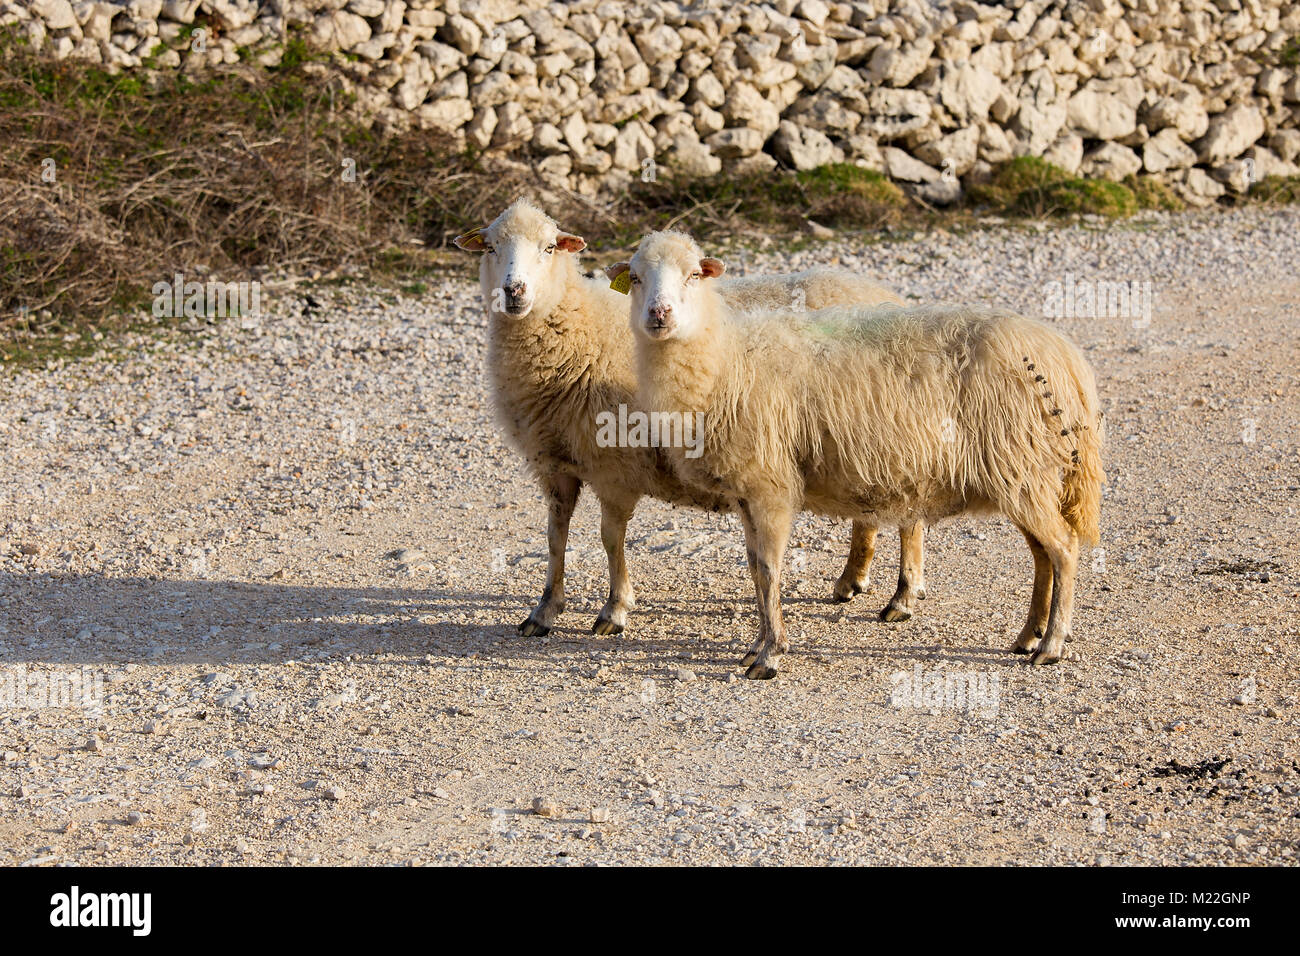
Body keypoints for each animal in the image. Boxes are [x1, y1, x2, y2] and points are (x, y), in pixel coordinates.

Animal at [454, 198, 926, 639]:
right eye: (491, 247)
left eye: (549, 248)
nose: (514, 292)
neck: (578, 330)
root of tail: (893, 298)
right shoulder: (554, 464)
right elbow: (555, 537)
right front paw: (544, 610)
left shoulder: (615, 468)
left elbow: (610, 537)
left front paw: (614, 610)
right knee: (869, 514)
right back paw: (852, 580)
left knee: (910, 515)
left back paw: (902, 597)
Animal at [613, 230, 1104, 679]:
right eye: (635, 278)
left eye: (694, 275)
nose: (659, 314)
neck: (725, 362)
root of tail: (1066, 357)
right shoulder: (747, 493)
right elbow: (755, 570)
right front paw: (757, 647)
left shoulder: (771, 487)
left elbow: (769, 571)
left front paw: (771, 655)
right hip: (1026, 474)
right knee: (1043, 554)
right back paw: (1027, 636)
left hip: (1024, 468)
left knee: (1063, 549)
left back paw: (1052, 644)